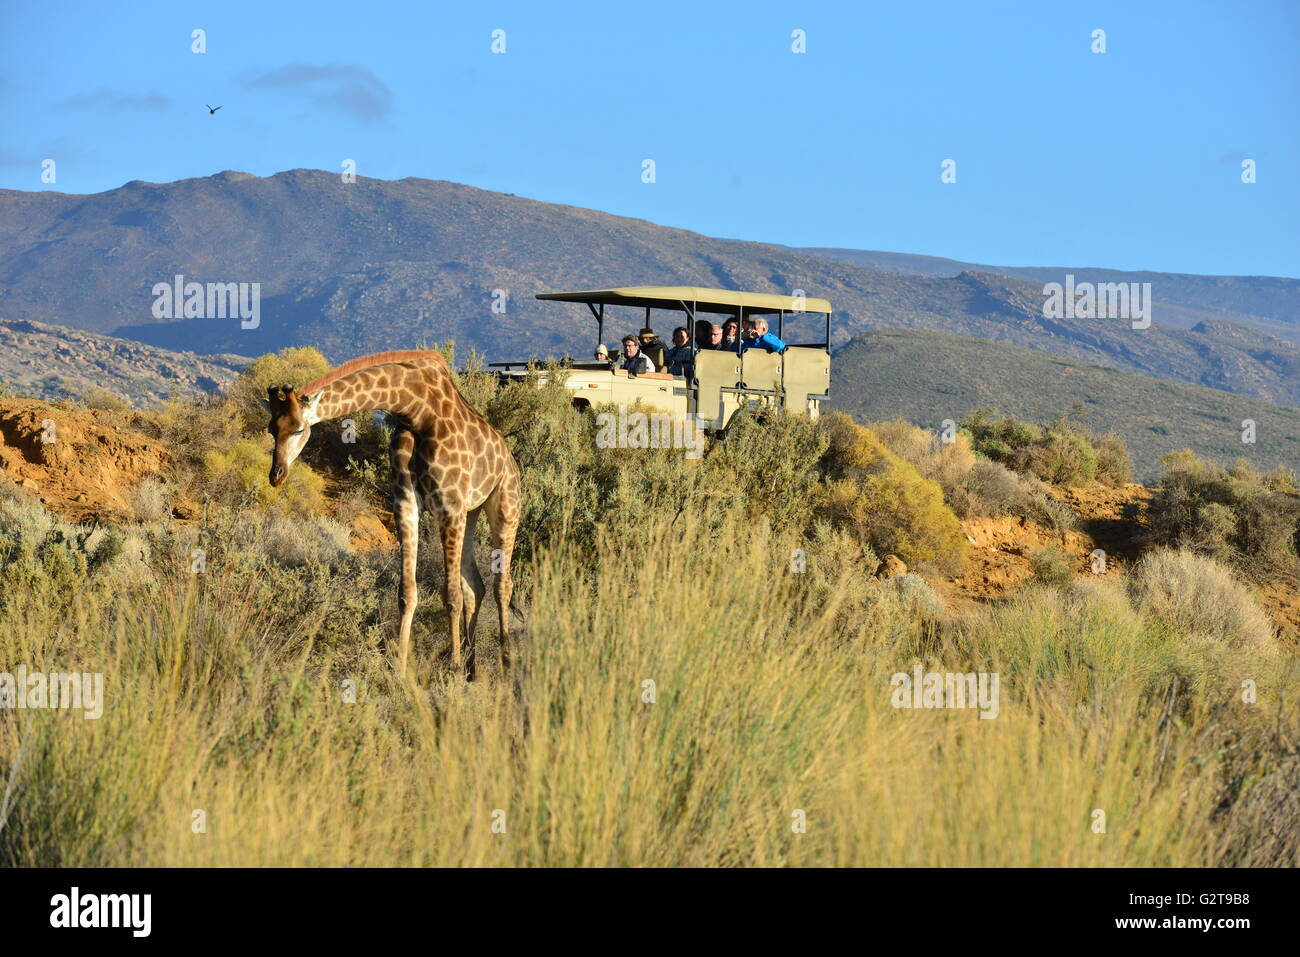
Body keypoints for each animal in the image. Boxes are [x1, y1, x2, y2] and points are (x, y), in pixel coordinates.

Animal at [261, 350, 521, 680]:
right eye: (271, 429)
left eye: (298, 428)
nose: (276, 475)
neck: (415, 410)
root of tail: (511, 462)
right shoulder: (406, 503)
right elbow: (407, 591)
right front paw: (399, 669)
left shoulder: (448, 505)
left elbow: (451, 595)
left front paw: (452, 669)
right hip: (471, 511)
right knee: (476, 585)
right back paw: (473, 671)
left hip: (505, 505)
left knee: (503, 585)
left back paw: (506, 666)